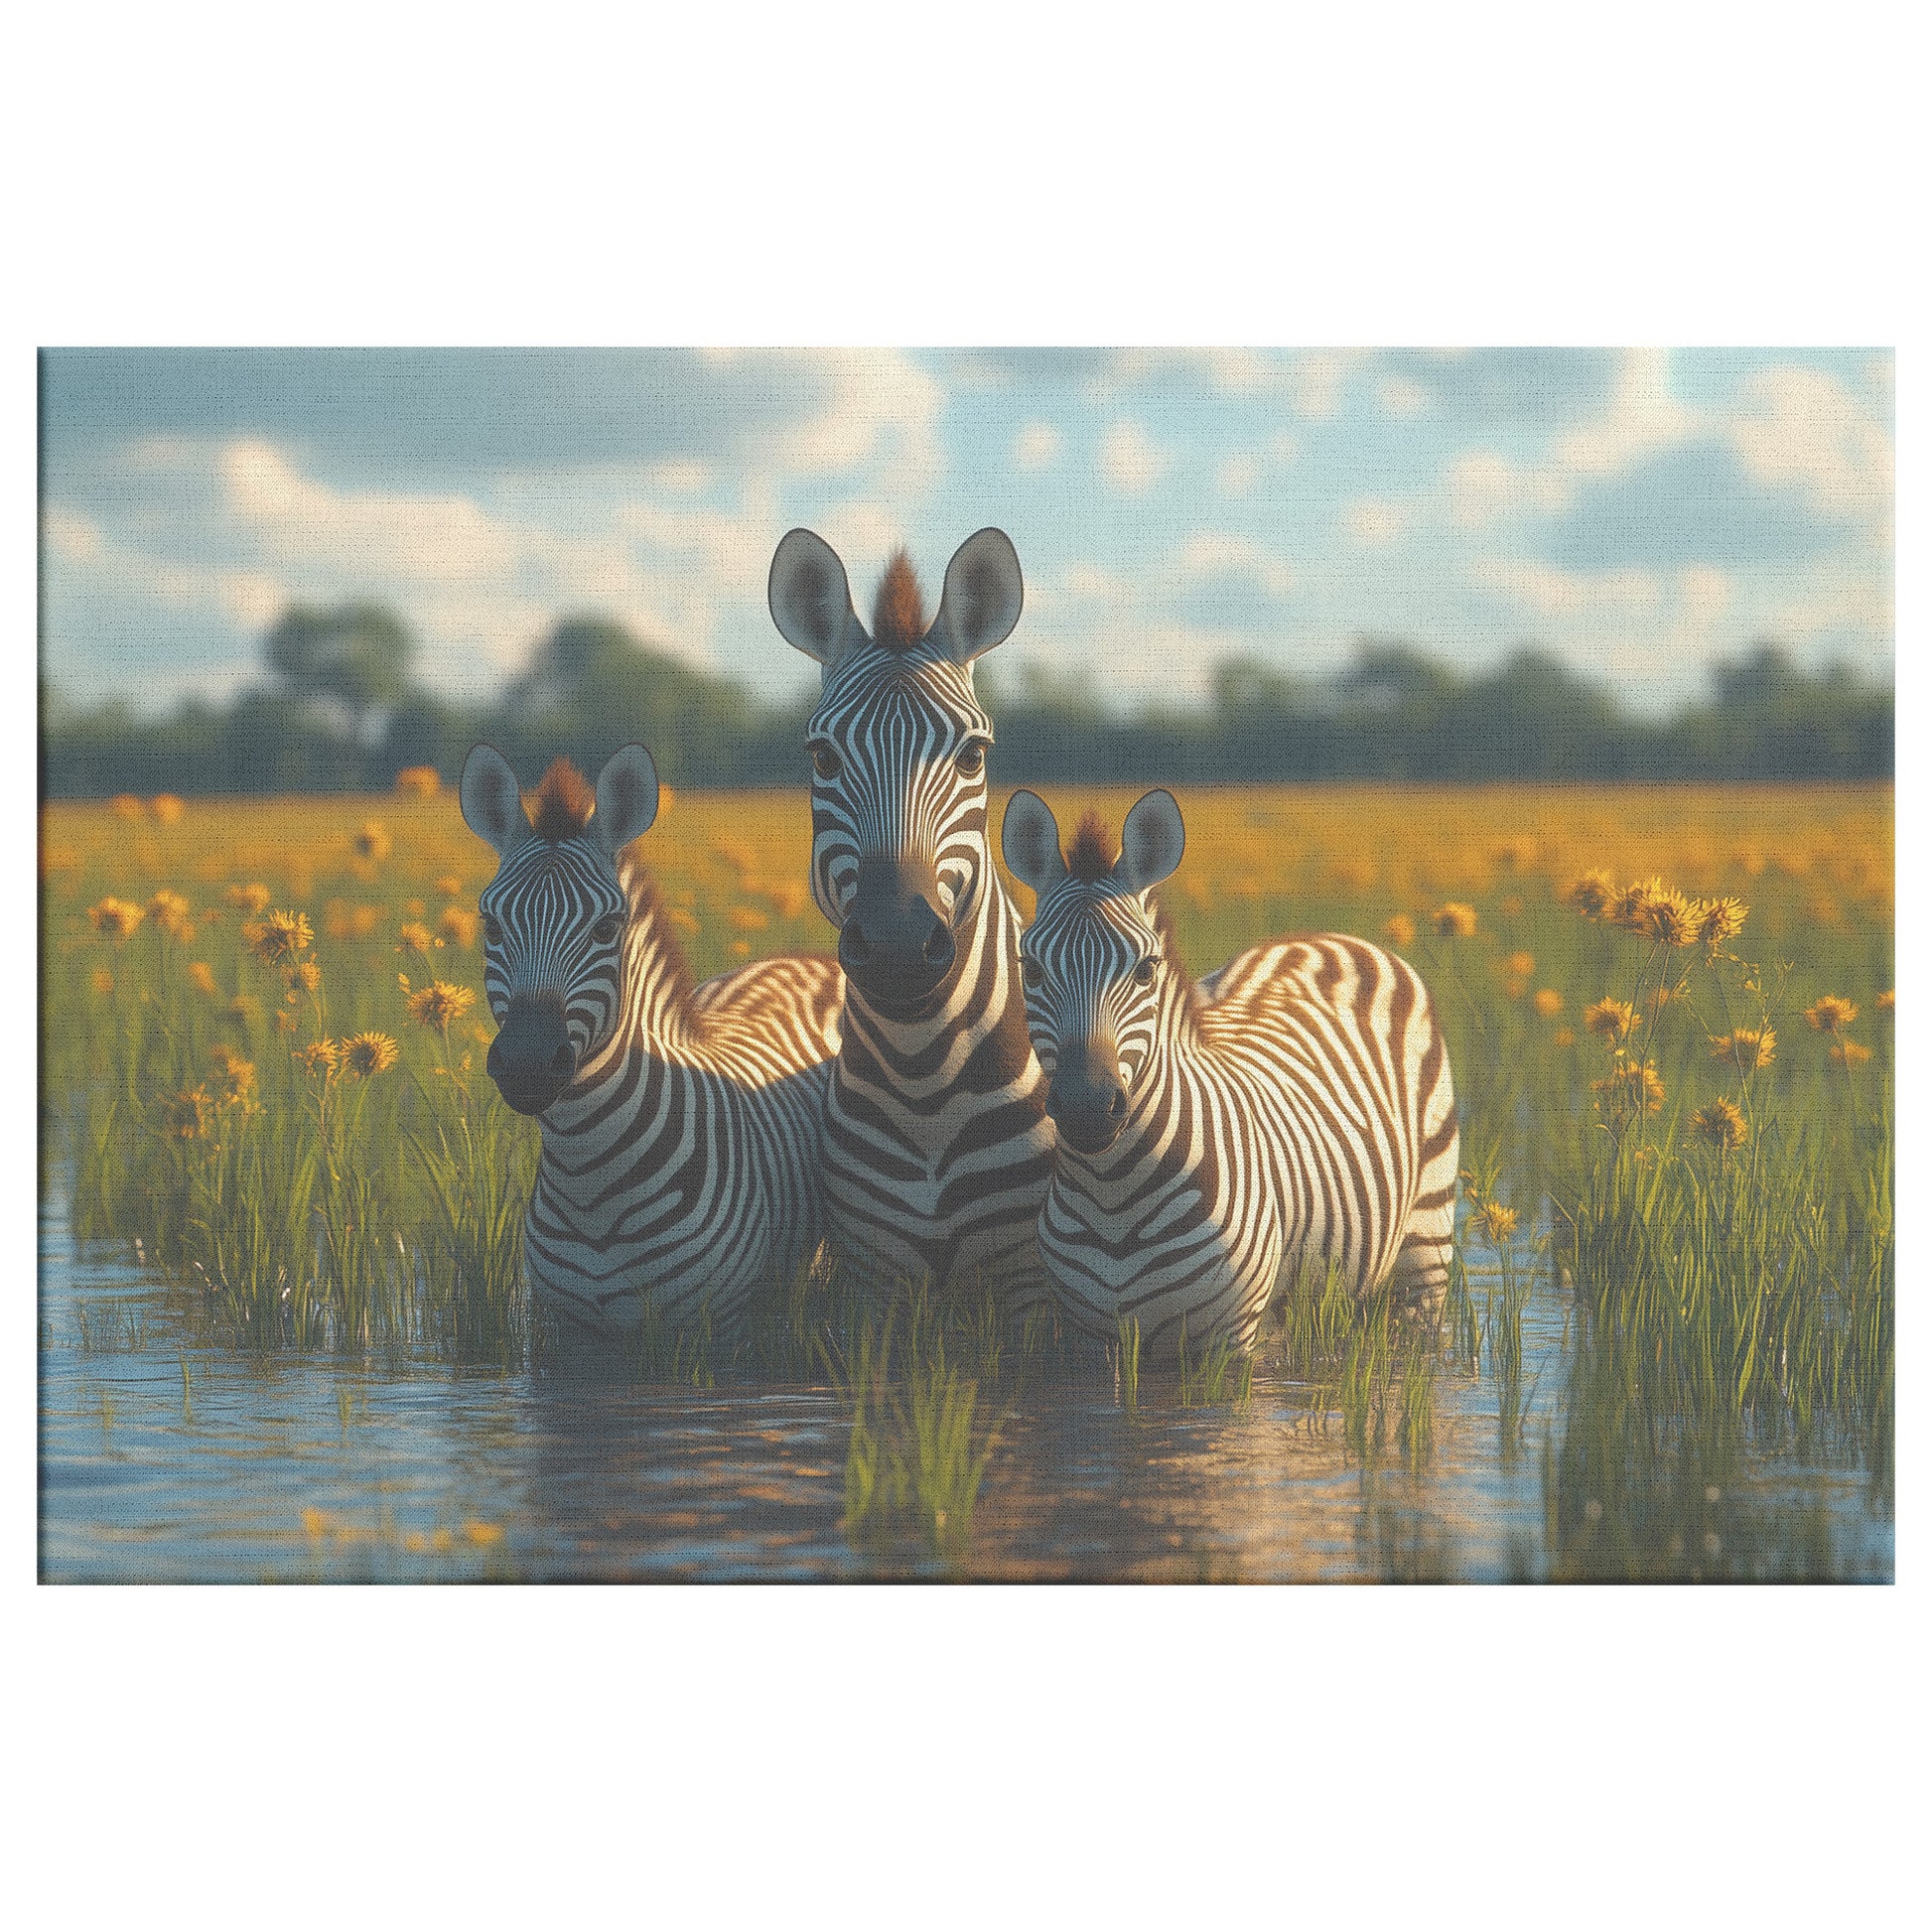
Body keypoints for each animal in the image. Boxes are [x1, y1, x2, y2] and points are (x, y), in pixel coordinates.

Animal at [459, 743, 844, 1338]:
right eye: (491, 928)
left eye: (606, 929)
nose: (527, 1063)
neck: (590, 1181)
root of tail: (808, 958)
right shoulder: (566, 1331)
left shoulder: (718, 1327)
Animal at [766, 527, 1054, 1308]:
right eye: (822, 755)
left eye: (975, 754)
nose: (897, 945)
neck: (925, 1081)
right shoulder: (872, 1279)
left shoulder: (1034, 1282)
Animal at [1000, 787, 1460, 1354]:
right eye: (1031, 969)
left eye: (1146, 970)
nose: (1088, 1109)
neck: (1112, 1195)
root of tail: (1336, 937)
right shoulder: (1089, 1338)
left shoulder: (1231, 1340)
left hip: (1425, 1251)